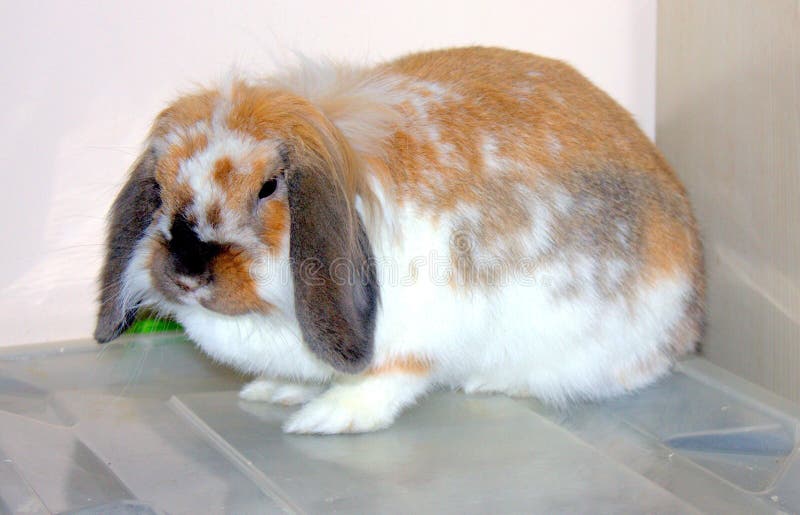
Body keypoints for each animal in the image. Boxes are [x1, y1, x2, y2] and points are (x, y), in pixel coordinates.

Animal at [95, 47, 705, 434]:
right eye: (159, 189)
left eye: (269, 187)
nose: (186, 272)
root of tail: (692, 317)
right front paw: (274, 389)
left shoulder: (420, 336)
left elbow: (390, 379)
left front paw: (326, 419)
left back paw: (497, 384)